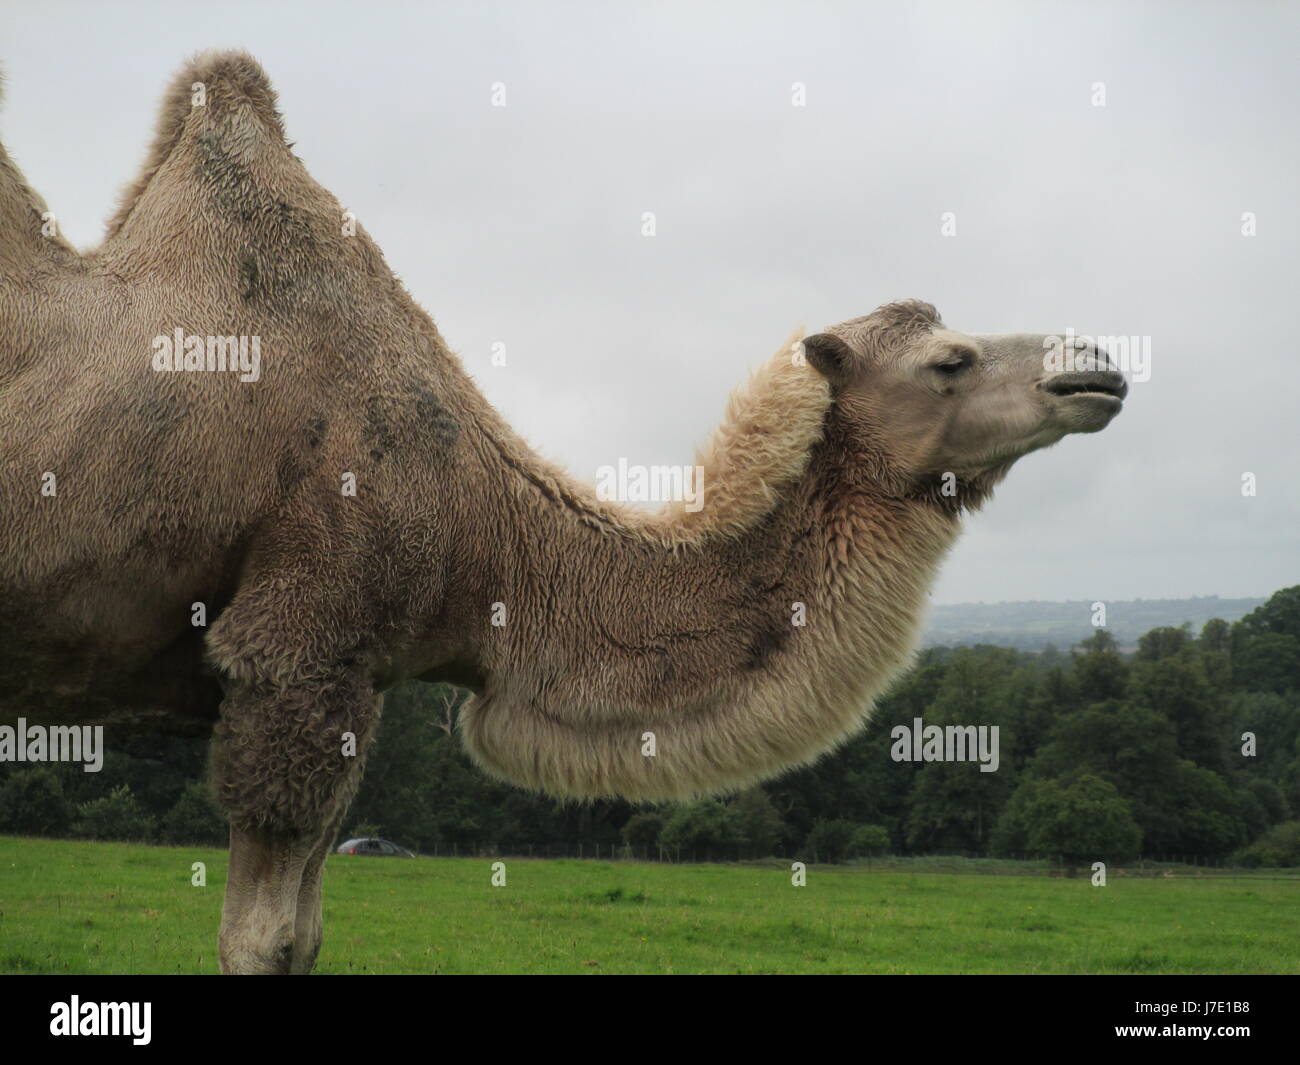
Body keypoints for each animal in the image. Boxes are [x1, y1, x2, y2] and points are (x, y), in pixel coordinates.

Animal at [0, 51, 1127, 974]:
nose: (1098, 367)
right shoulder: (300, 648)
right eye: (950, 361)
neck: (496, 541)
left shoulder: (361, 672)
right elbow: (265, 941)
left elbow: (308, 932)